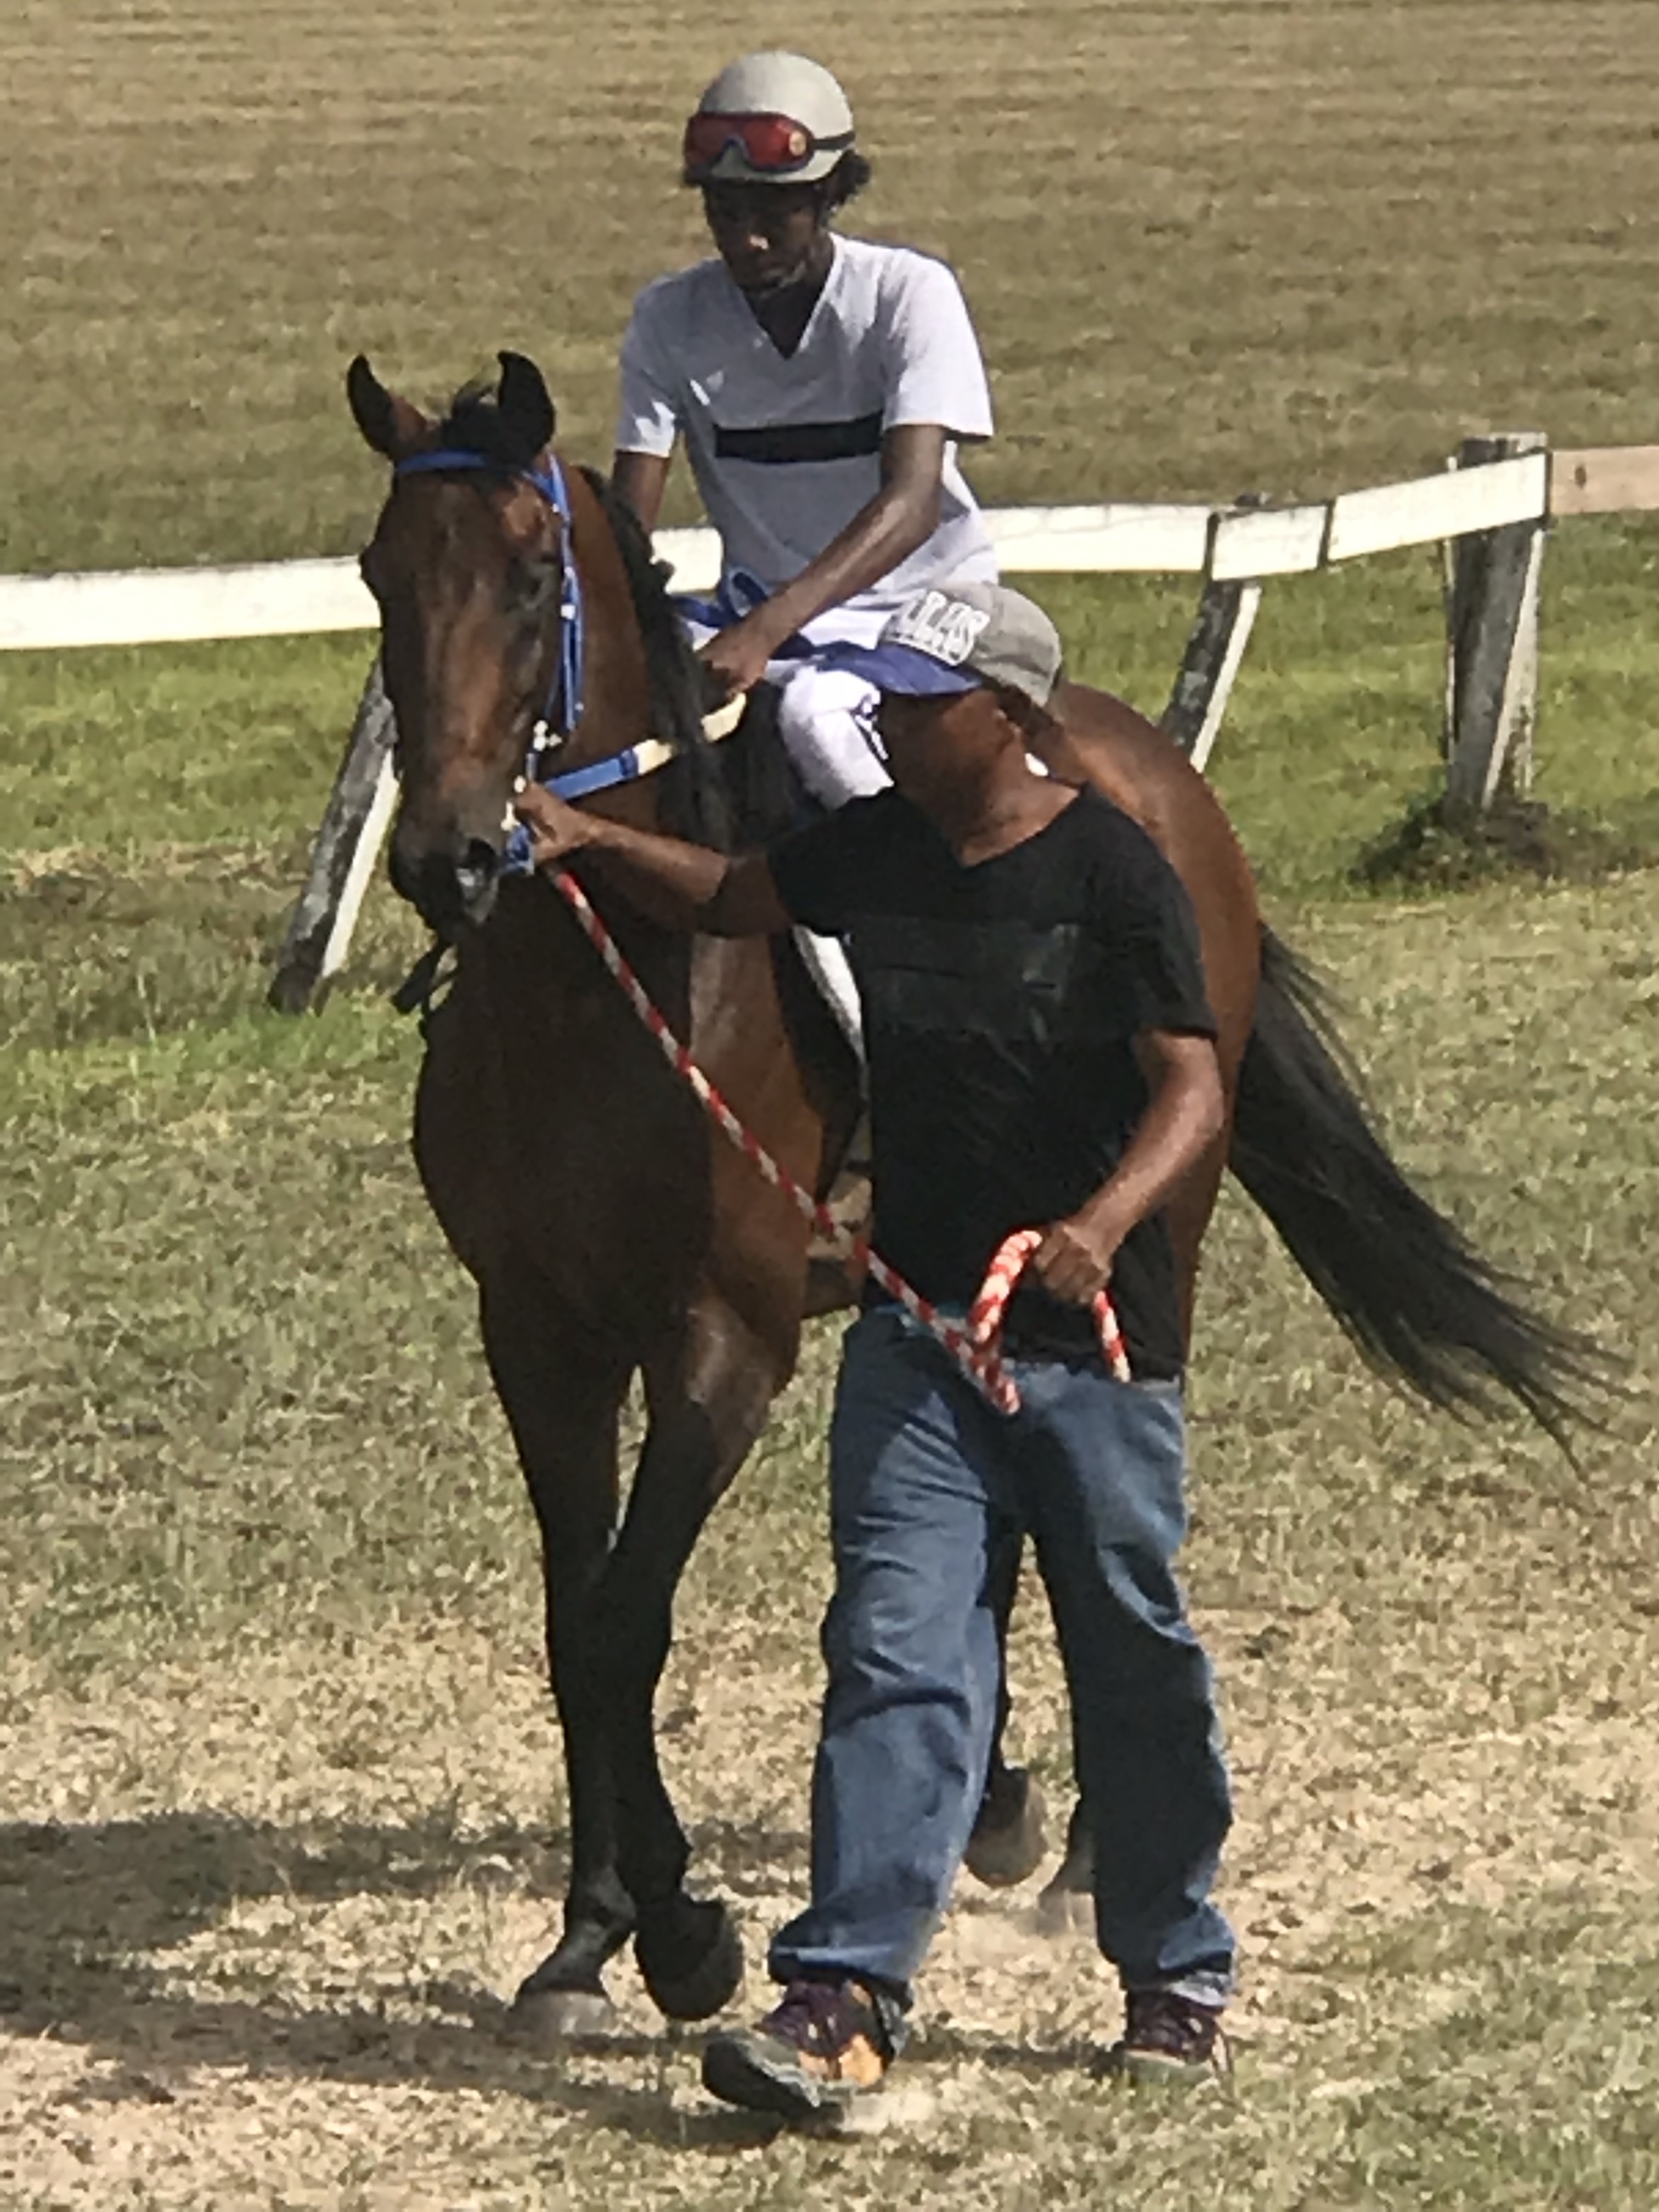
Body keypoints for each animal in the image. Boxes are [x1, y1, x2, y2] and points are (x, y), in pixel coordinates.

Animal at [344, 349, 1596, 2039]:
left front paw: (684, 1936)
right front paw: (589, 1933)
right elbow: (574, 1619)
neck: (602, 996)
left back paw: (1079, 1856)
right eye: (380, 575)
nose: (450, 854)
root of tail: (1147, 769)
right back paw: (993, 1803)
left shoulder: (723, 1341)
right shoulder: (538, 1335)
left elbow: (624, 1619)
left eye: (534, 576)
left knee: (1091, 1521)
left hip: (1143, 1236)